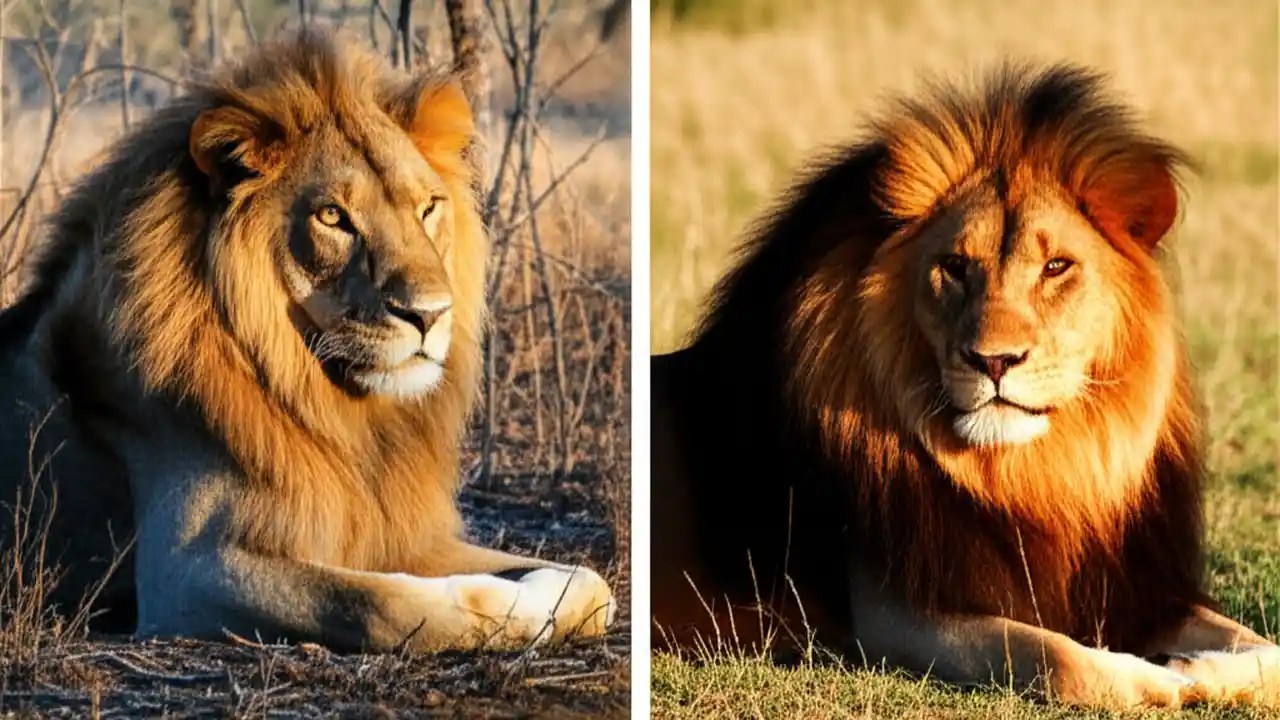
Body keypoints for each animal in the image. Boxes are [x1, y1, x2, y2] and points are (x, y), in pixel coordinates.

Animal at [0, 30, 614, 653]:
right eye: (332, 217)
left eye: (428, 207)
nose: (428, 314)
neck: (338, 408)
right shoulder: (184, 574)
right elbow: (379, 602)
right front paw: (505, 605)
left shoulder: (396, 532)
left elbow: (592, 583)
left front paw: (543, 592)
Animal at [652, 63, 1280, 708]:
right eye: (954, 267)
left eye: (1056, 267)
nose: (993, 360)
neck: (1035, 480)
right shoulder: (894, 617)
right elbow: (1053, 655)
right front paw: (1159, 677)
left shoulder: (1133, 589)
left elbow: (1266, 652)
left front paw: (1200, 666)